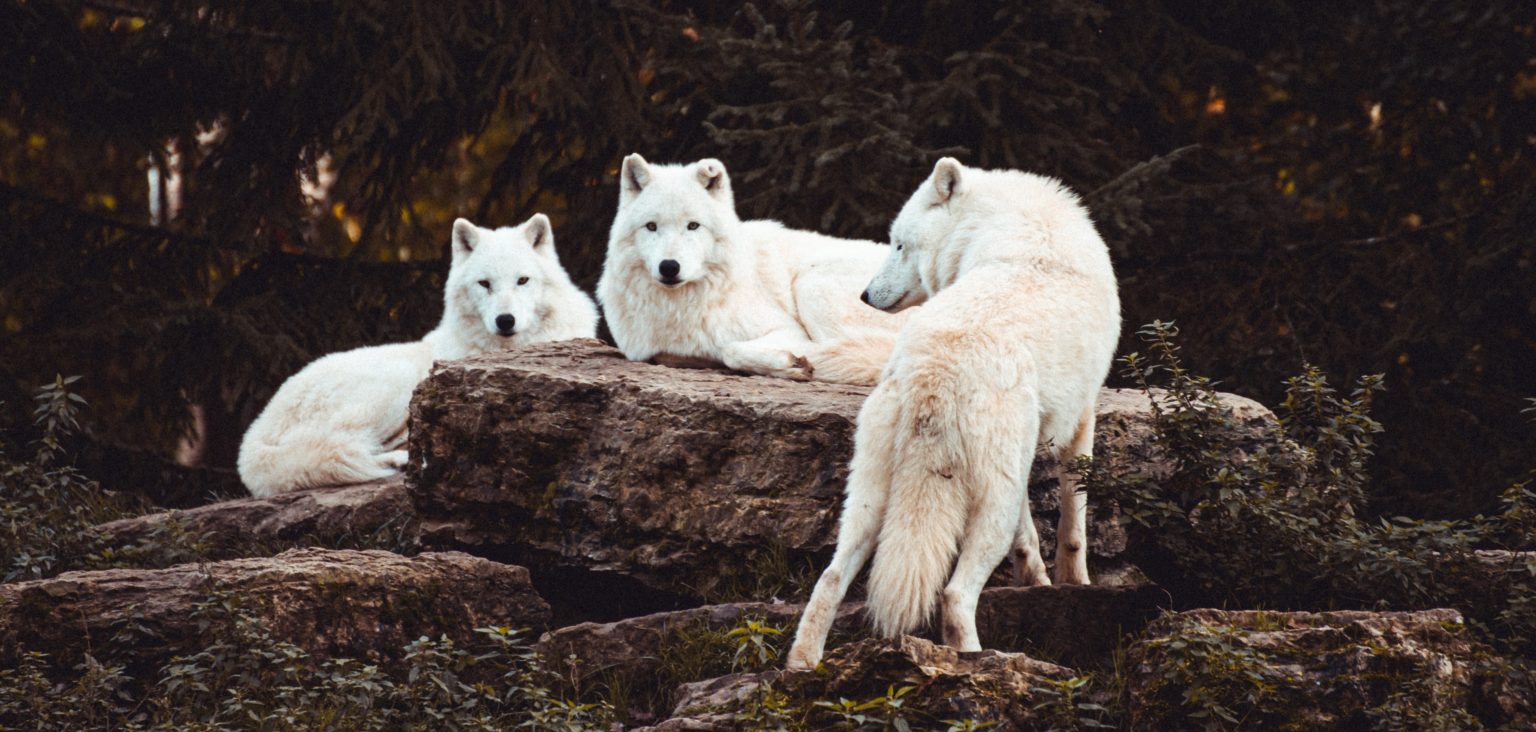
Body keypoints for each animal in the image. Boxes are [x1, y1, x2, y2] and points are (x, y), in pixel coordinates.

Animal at [237, 214, 598, 498]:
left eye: (523, 280)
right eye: (484, 284)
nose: (505, 321)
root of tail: (251, 441)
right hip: (395, 387)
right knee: (344, 448)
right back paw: (398, 462)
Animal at [596, 154, 909, 385]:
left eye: (693, 225)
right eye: (651, 226)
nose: (669, 267)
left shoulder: (787, 329)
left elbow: (730, 349)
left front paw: (792, 362)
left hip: (812, 285)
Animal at [786, 158, 1121, 669]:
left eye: (898, 245)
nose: (865, 295)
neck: (1005, 227)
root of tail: (936, 370)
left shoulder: (1023, 453)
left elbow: (1030, 532)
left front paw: (1036, 580)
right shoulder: (1080, 416)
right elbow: (1073, 522)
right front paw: (1073, 581)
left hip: (869, 497)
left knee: (830, 578)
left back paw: (800, 666)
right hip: (987, 508)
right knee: (954, 595)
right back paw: (976, 661)